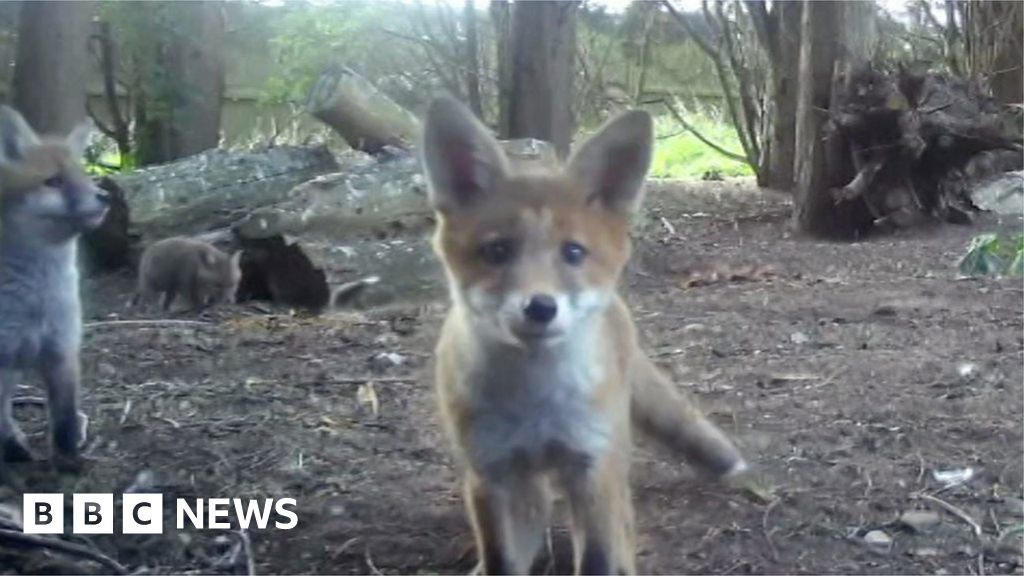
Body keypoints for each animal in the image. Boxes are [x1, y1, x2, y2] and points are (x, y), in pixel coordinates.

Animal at [0, 106, 109, 471]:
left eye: (86, 176)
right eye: (54, 181)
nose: (105, 196)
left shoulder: (62, 350)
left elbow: (64, 420)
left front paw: (69, 462)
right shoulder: (4, 356)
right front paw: (13, 451)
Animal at [421, 97, 748, 575]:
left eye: (573, 252)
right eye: (497, 251)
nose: (540, 307)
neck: (535, 403)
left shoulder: (592, 470)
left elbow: (597, 558)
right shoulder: (492, 474)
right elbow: (502, 560)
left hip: (612, 460)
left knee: (621, 528)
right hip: (518, 482)